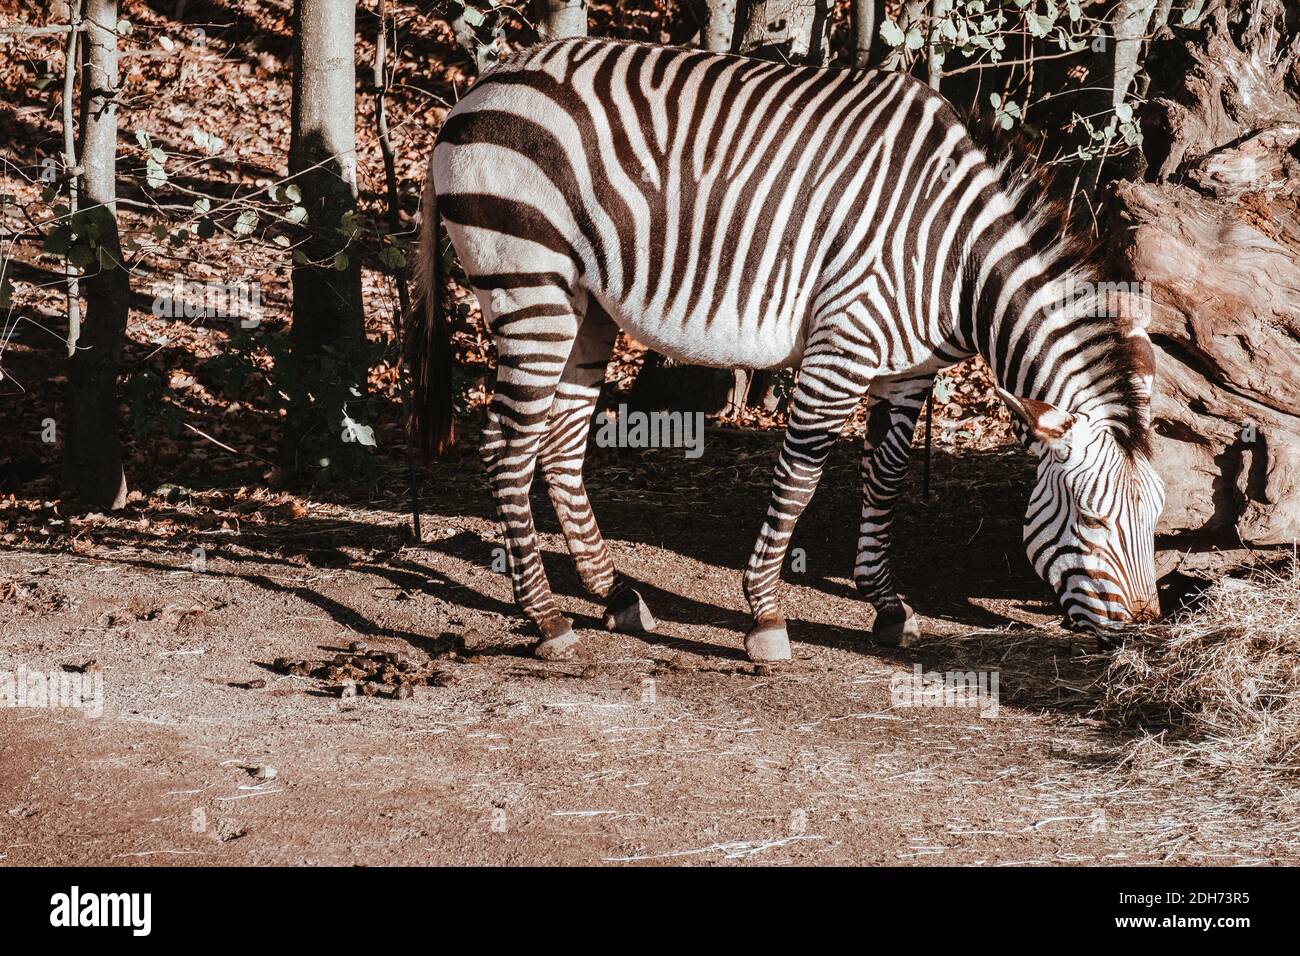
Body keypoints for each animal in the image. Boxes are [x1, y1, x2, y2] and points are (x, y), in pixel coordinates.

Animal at [406, 36, 1165, 662]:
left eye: (1156, 522)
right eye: (1093, 519)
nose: (1142, 635)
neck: (953, 258)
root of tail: (480, 86)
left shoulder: (908, 372)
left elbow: (885, 477)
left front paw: (886, 606)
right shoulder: (842, 346)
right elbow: (800, 478)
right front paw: (766, 618)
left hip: (584, 304)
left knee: (559, 444)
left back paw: (614, 596)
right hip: (529, 283)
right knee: (508, 449)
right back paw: (545, 619)